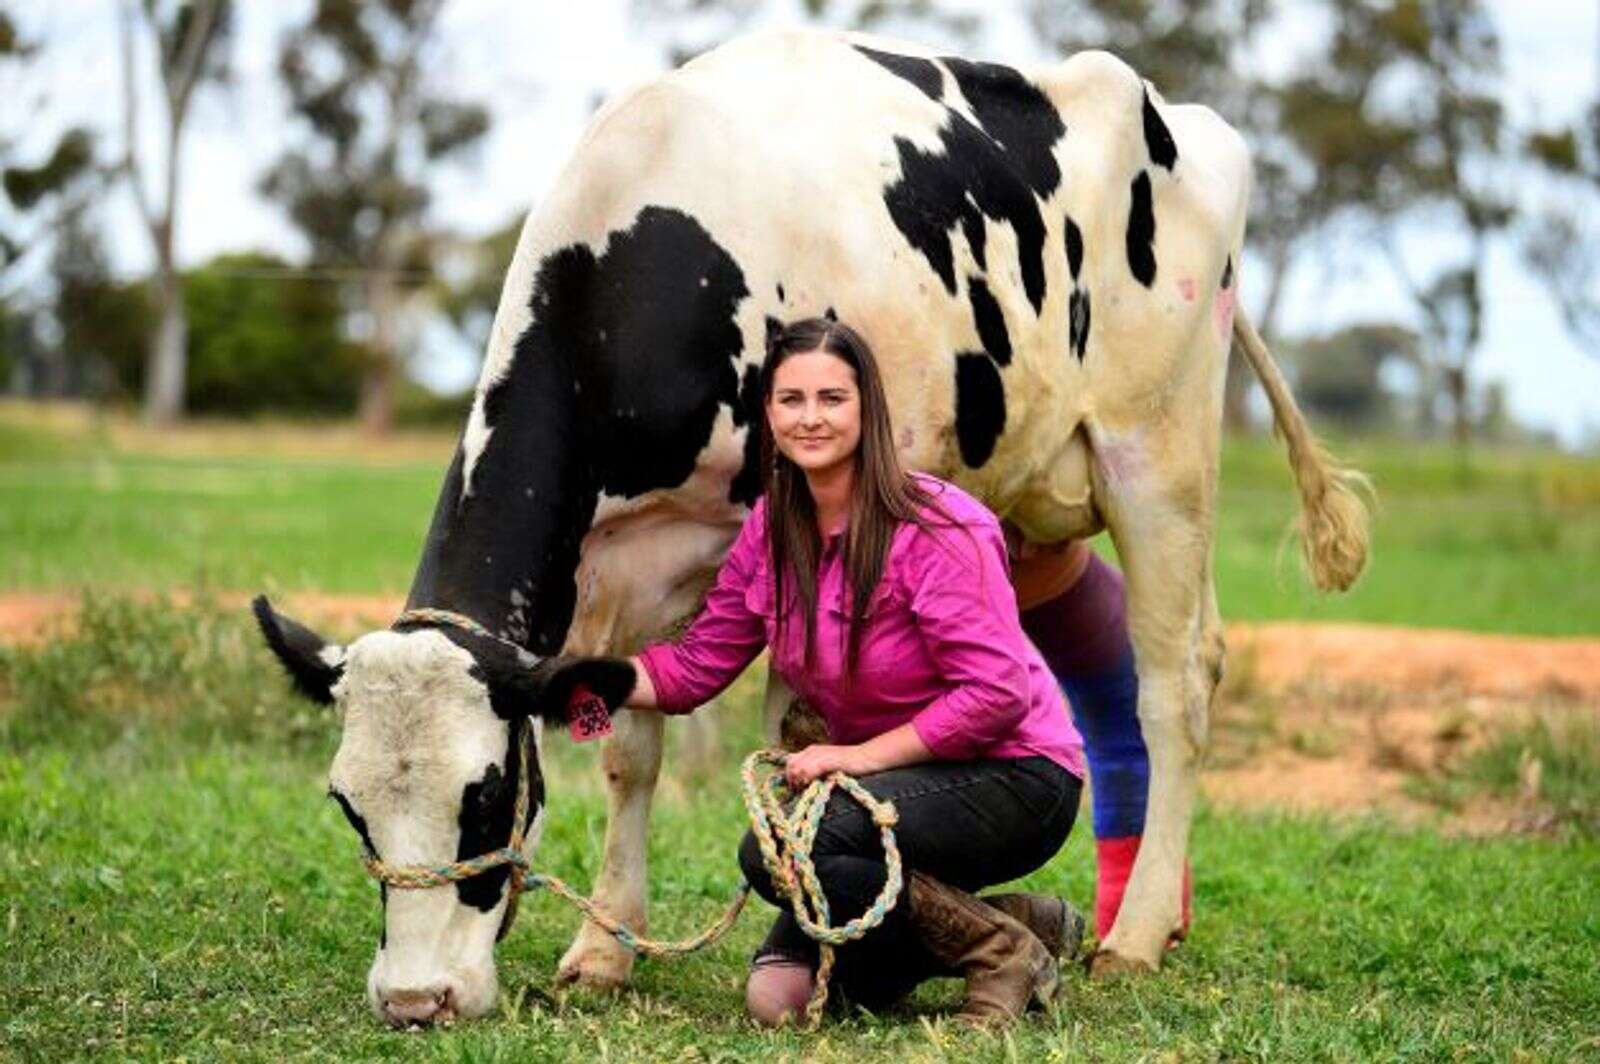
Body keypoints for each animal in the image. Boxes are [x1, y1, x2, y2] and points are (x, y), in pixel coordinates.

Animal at [255, 28, 1368, 1026]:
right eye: (348, 805)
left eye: (484, 797)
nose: (416, 1000)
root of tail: (1171, 109)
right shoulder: (630, 562)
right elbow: (631, 744)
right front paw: (603, 950)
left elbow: (797, 750)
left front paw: (799, 944)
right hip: (1035, 489)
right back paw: (1131, 916)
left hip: (1158, 451)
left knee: (1172, 683)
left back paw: (1131, 936)